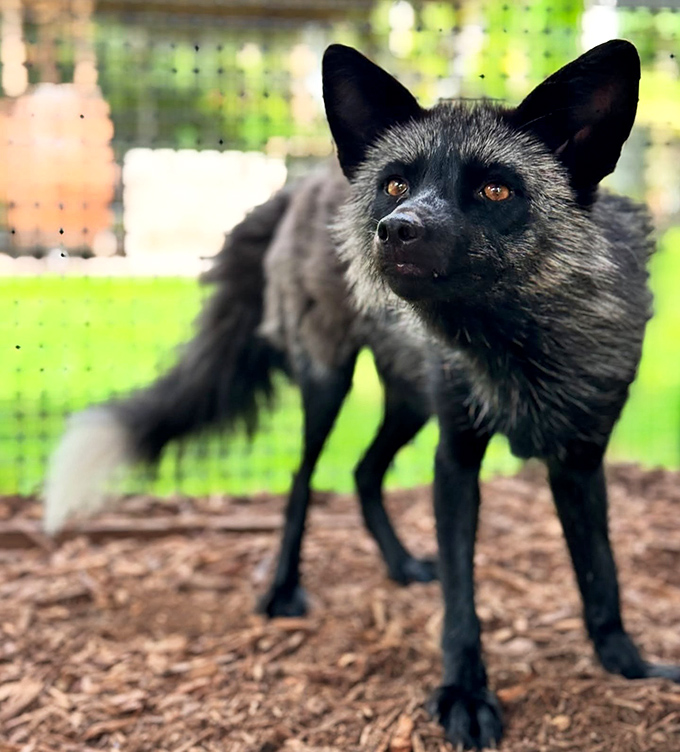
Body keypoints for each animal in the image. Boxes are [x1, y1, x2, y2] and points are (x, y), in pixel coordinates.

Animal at [43, 163, 436, 618]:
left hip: (414, 397)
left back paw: (400, 564)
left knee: (364, 473)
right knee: (302, 480)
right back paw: (282, 592)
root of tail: (303, 184)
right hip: (328, 381)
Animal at [321, 39, 680, 748]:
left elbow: (602, 575)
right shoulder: (456, 457)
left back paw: (400, 565)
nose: (396, 229)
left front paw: (626, 665)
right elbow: (462, 596)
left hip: (409, 405)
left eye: (495, 188)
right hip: (330, 385)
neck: (515, 345)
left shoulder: (580, 460)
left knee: (364, 469)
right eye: (396, 184)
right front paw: (464, 692)